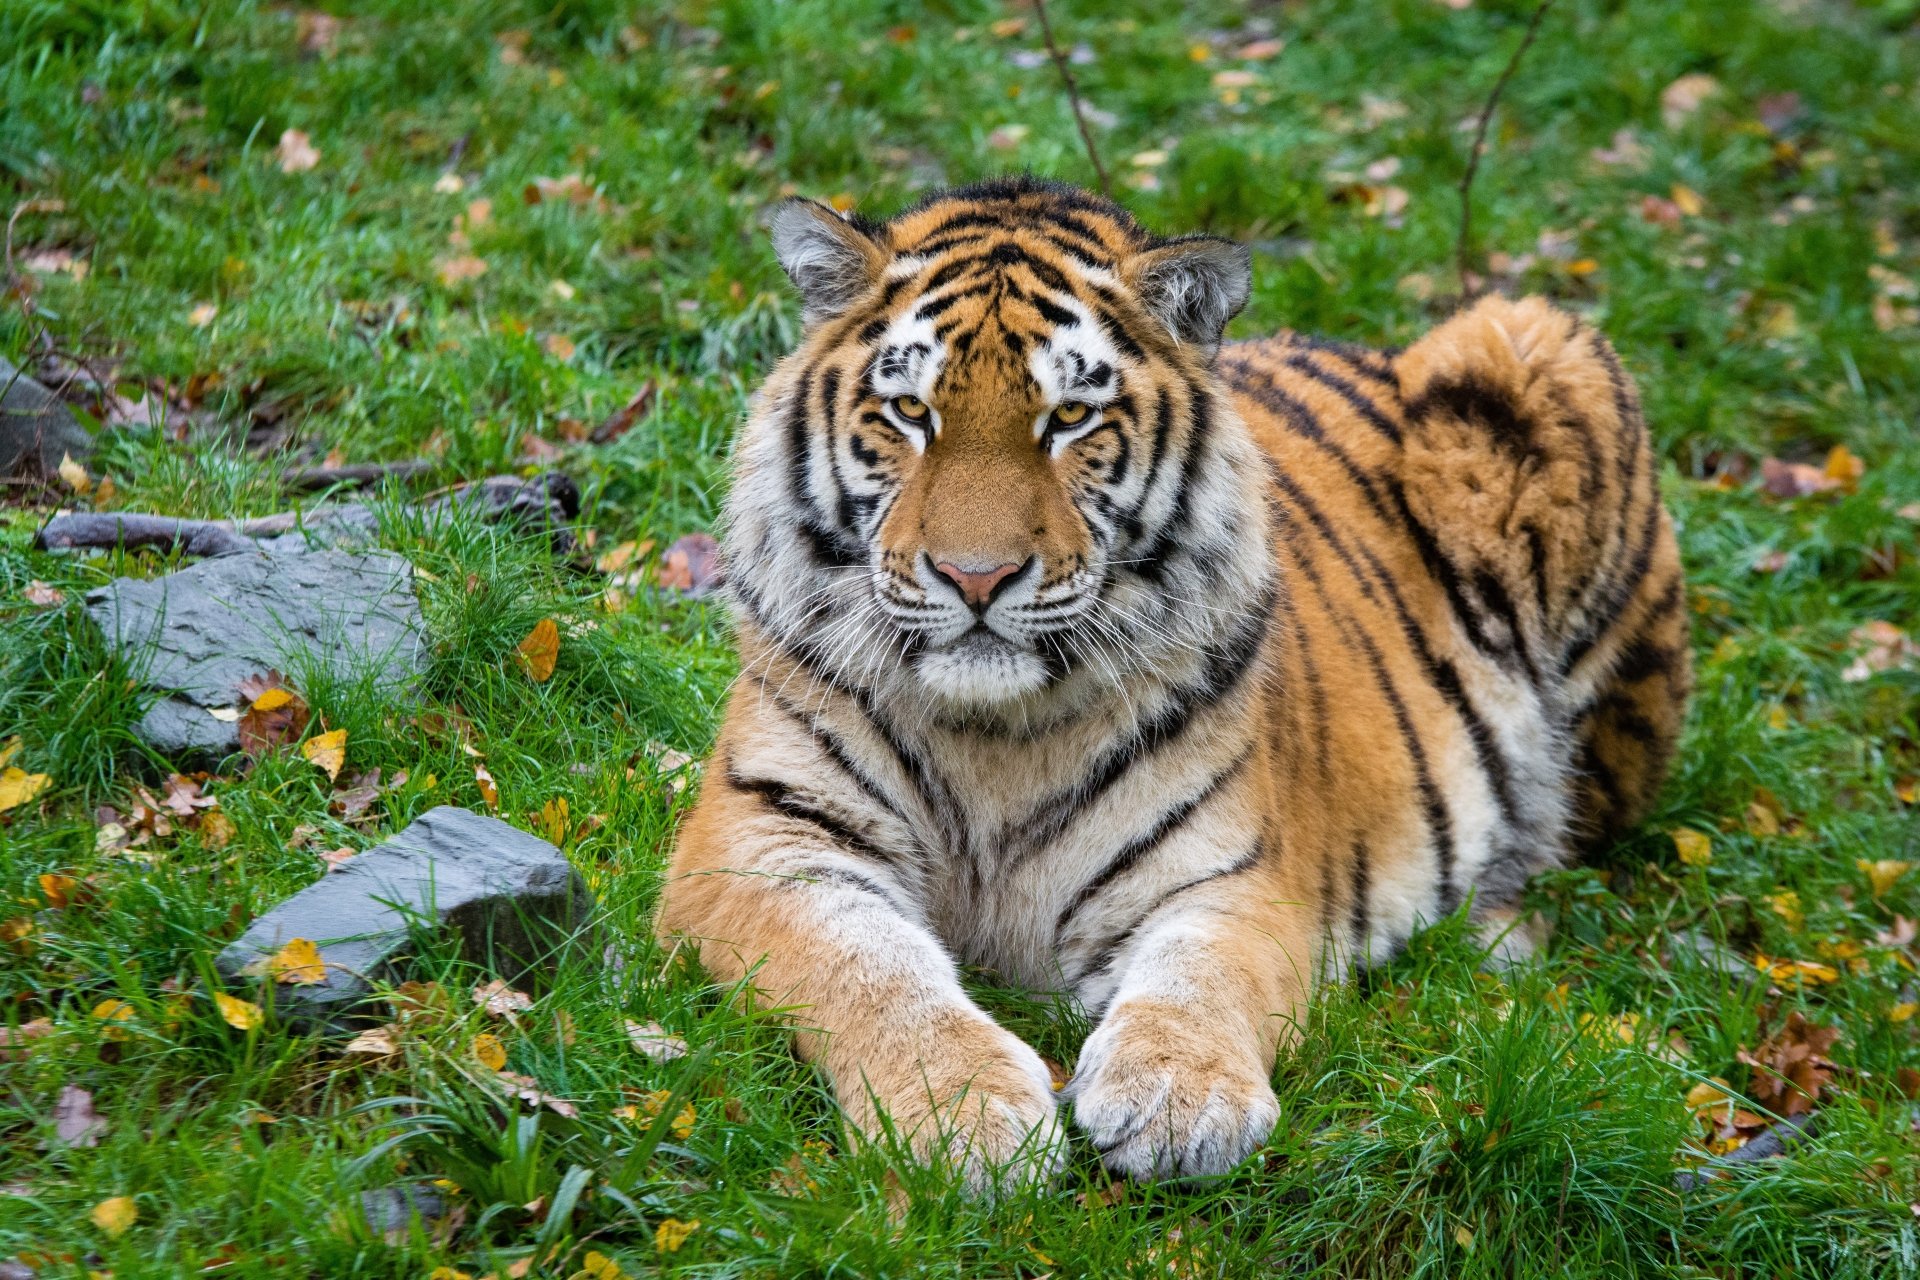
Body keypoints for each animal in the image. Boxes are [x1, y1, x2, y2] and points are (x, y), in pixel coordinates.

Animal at [656, 176, 1689, 1190]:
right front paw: (964, 1116)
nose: (976, 578)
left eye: (1070, 419)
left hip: (1535, 345)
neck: (992, 737)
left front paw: (1179, 1101)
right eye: (911, 412)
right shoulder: (761, 839)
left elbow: (1202, 977)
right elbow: (869, 972)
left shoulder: (1233, 875)